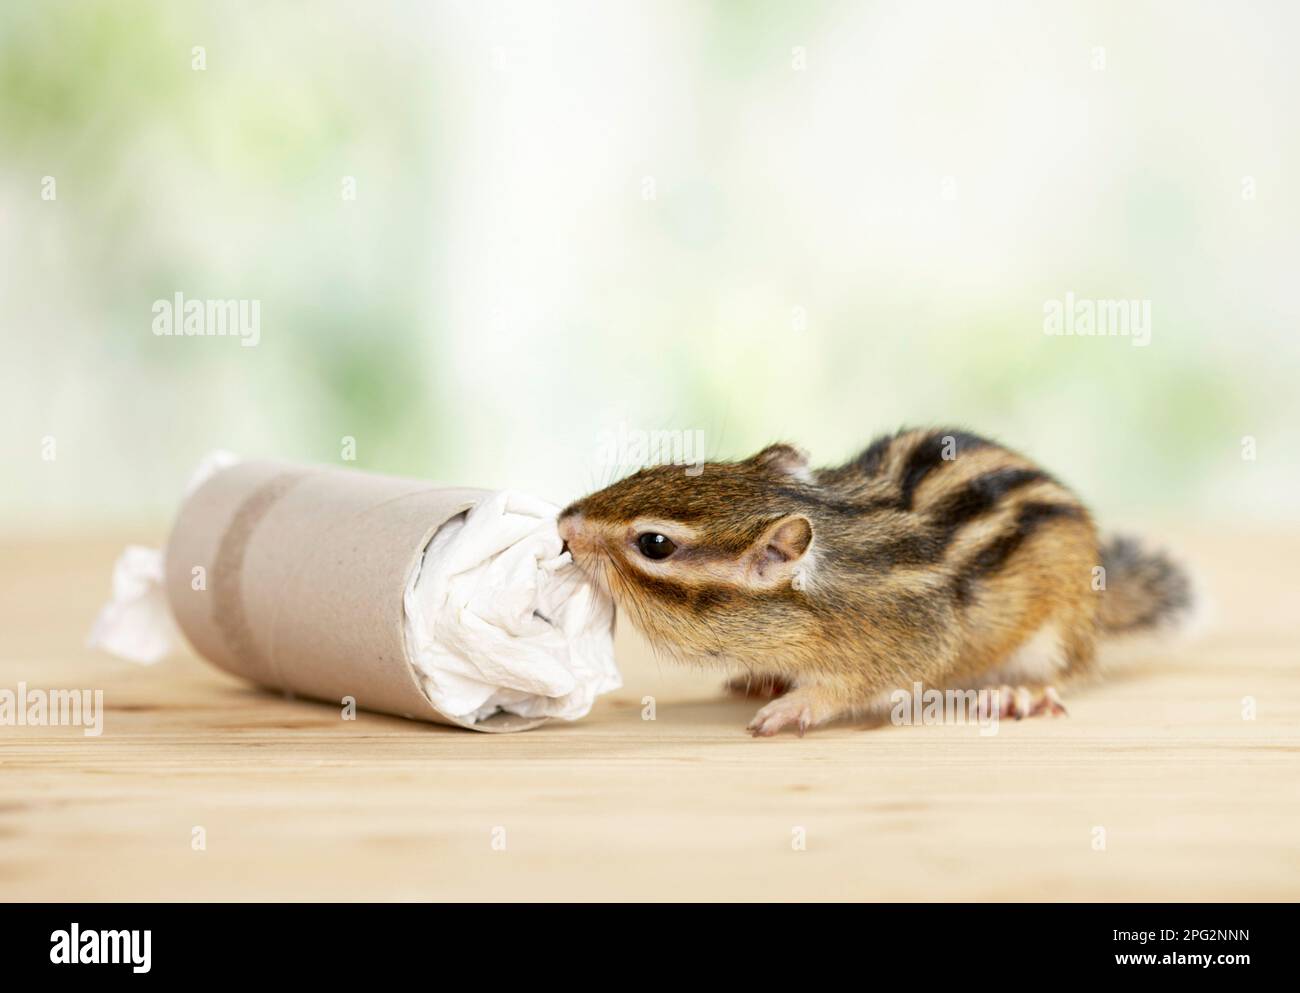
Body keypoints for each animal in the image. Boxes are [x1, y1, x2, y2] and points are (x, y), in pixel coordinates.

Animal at [558, 427, 1193, 736]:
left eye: (654, 544)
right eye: (651, 471)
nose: (564, 523)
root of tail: (1096, 610)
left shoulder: (913, 637)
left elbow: (860, 685)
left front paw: (797, 706)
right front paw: (770, 681)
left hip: (1055, 633)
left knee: (1069, 671)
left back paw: (1018, 692)